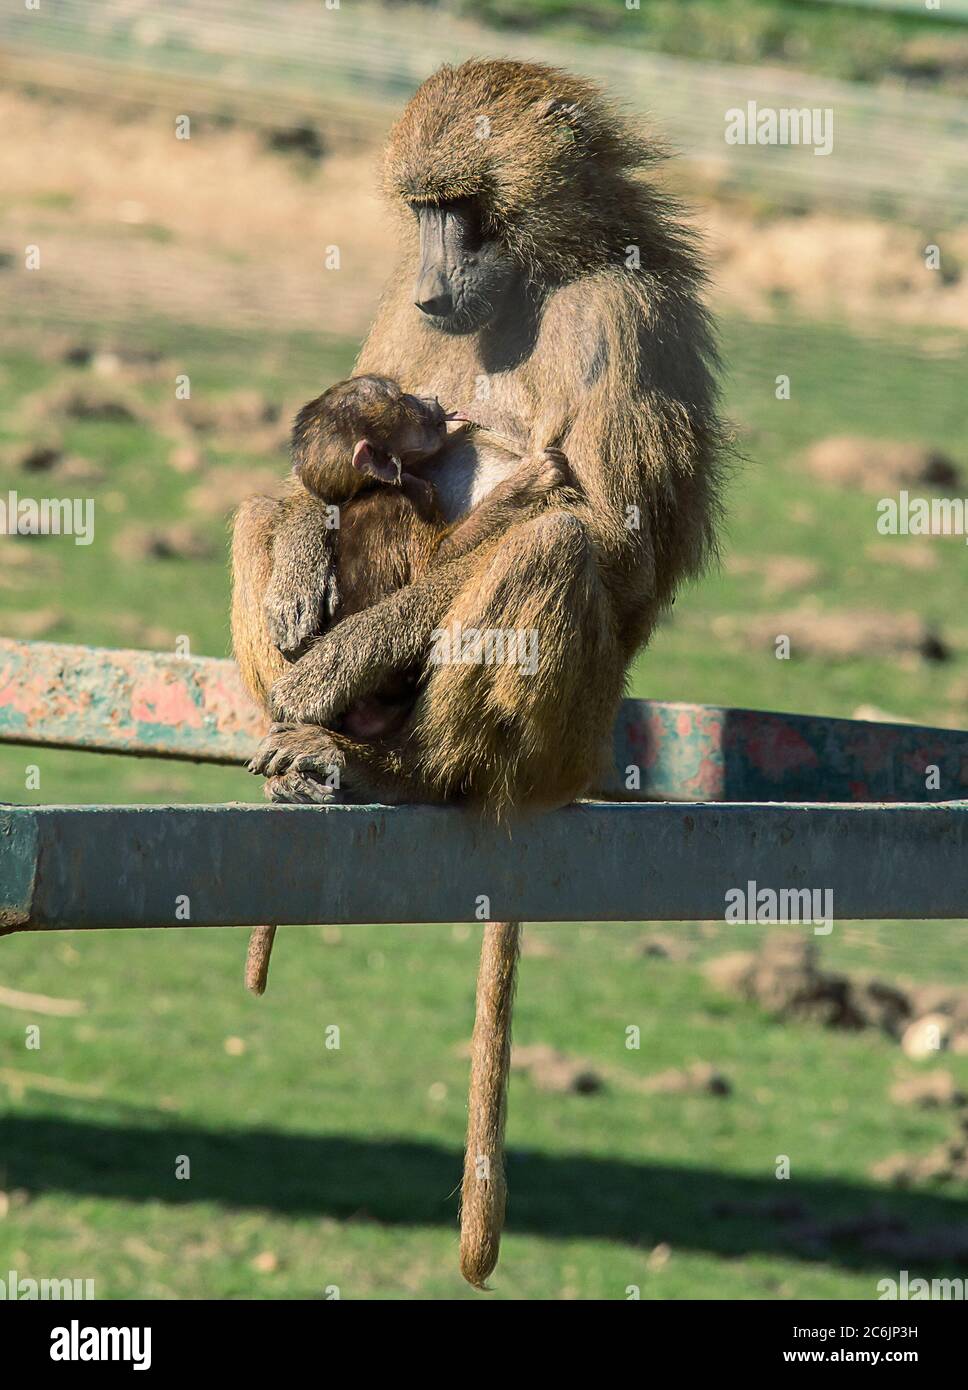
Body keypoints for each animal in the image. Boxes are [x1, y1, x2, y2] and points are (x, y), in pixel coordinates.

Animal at [244, 373, 574, 993]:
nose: (433, 401)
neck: (368, 490)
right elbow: (437, 563)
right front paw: (525, 487)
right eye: (401, 402)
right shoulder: (407, 501)